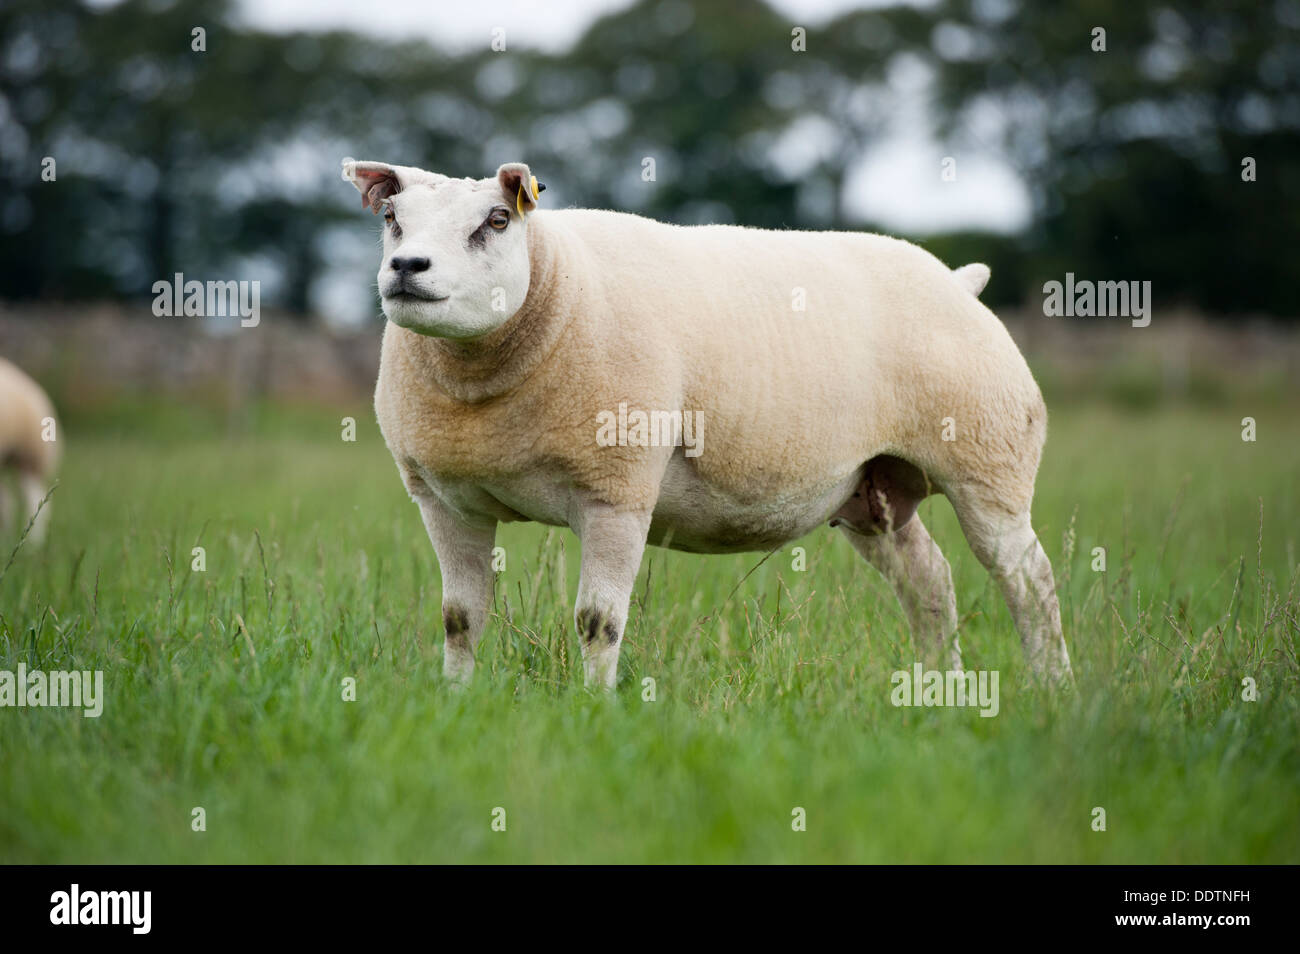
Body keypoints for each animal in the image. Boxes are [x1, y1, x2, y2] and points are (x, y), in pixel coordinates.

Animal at [343, 159, 1073, 689]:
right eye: (393, 219)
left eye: (496, 219)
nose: (406, 268)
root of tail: (957, 279)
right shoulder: (444, 500)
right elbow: (460, 619)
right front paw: (456, 701)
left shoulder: (618, 492)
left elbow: (597, 622)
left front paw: (592, 710)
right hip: (873, 491)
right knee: (930, 582)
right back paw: (941, 688)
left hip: (989, 462)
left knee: (1030, 582)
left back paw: (1052, 692)